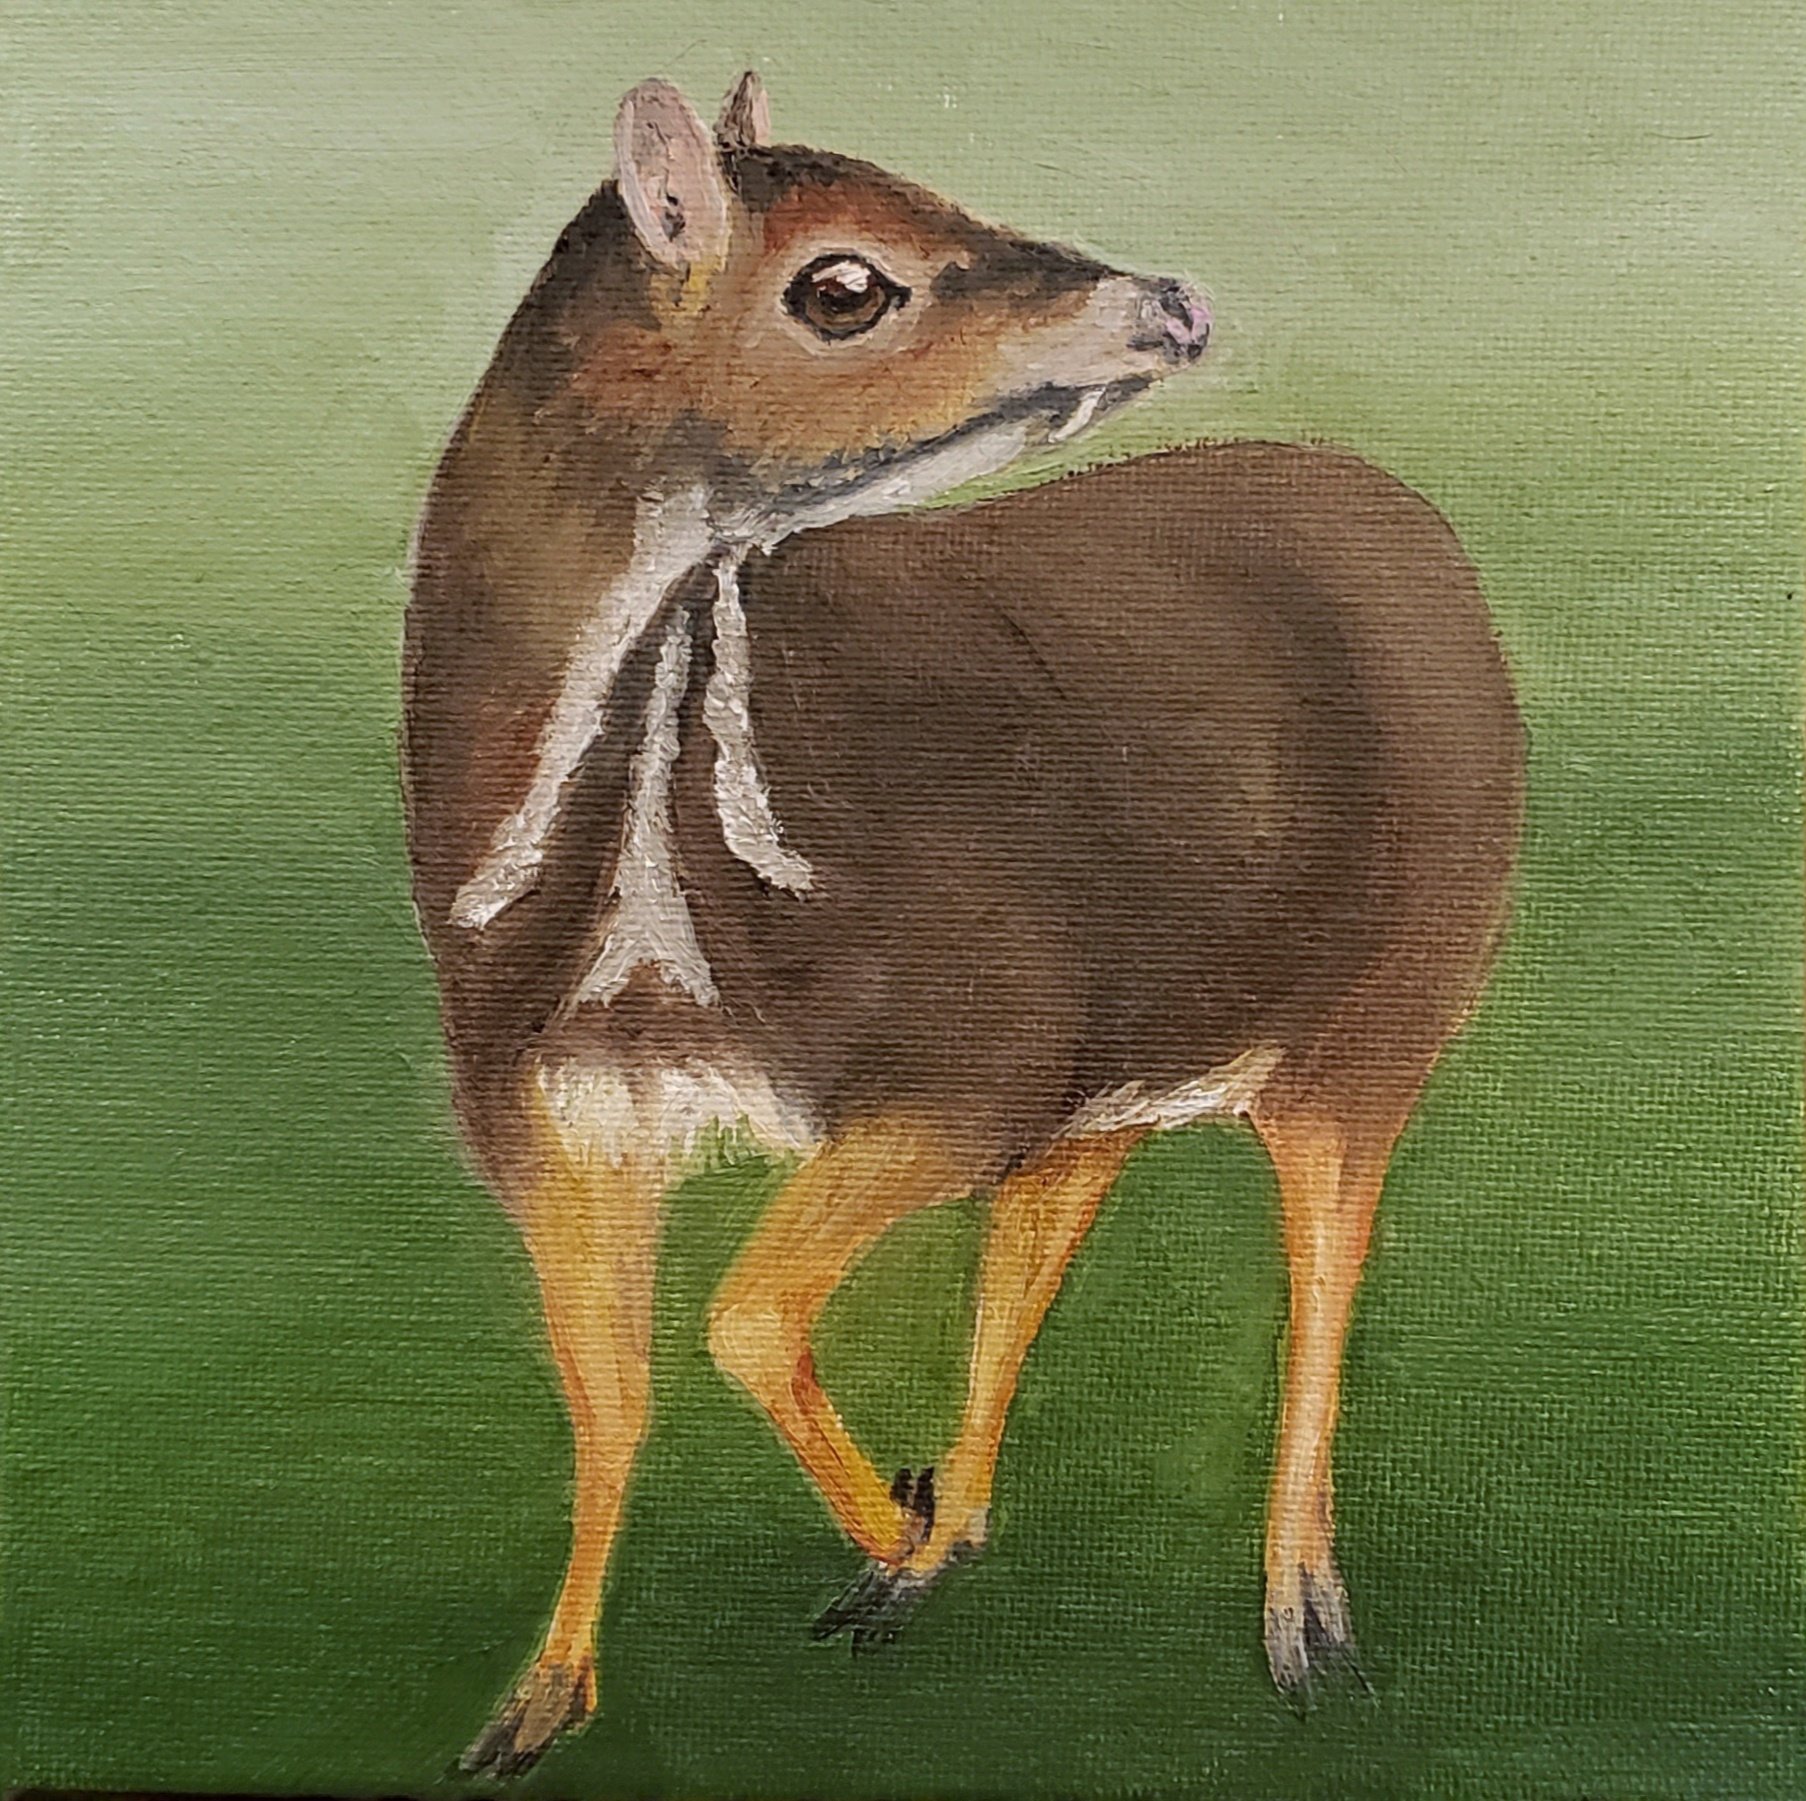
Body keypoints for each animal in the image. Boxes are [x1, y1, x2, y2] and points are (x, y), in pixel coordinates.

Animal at [402, 70, 1525, 1777]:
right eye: (842, 283)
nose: (1171, 301)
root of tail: (1419, 525)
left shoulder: (965, 1046)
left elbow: (739, 1314)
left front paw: (892, 1538)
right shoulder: (537, 1105)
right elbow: (614, 1389)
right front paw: (537, 1704)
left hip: (1385, 997)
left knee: (1324, 1251)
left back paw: (1300, 1623)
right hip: (1135, 1033)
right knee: (1056, 1220)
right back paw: (965, 1529)